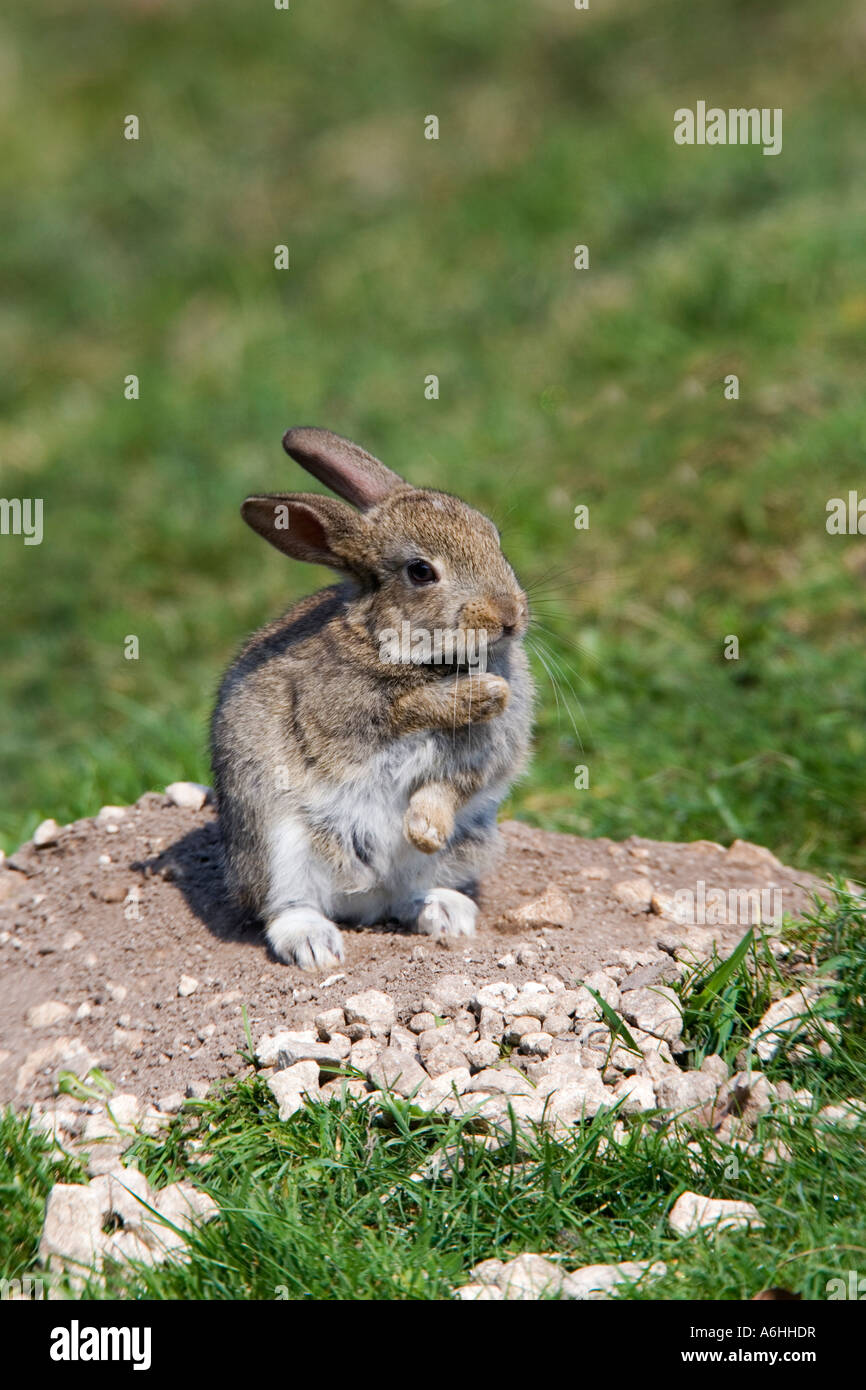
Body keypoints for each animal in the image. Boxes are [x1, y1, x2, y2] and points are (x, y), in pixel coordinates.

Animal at [211, 427, 533, 969]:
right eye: (420, 571)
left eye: (494, 538)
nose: (509, 617)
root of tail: (363, 902)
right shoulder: (335, 715)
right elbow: (401, 711)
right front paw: (482, 693)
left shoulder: (488, 756)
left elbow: (452, 786)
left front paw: (424, 830)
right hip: (276, 842)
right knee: (285, 906)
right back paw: (315, 947)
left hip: (469, 841)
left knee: (409, 894)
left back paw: (445, 913)